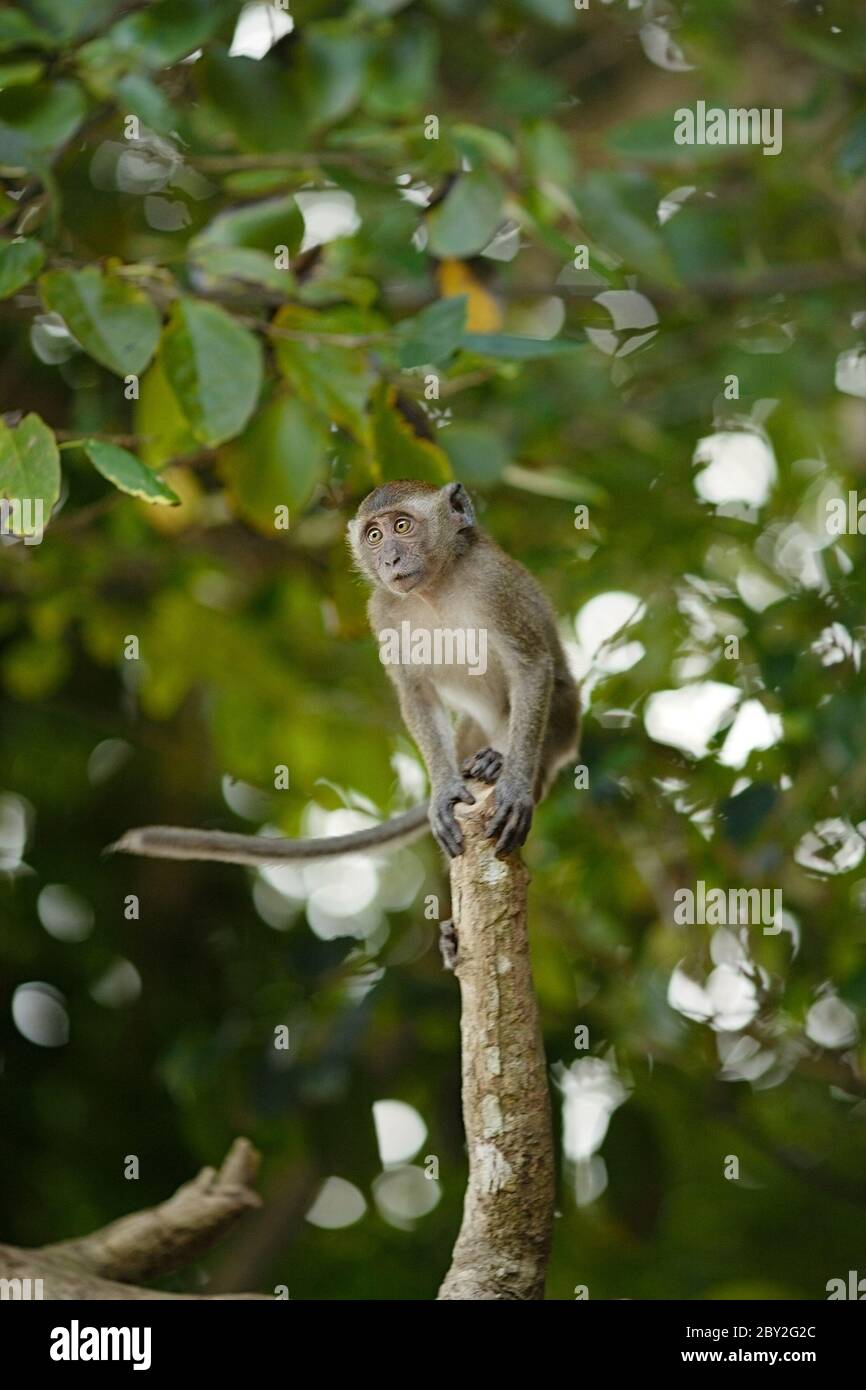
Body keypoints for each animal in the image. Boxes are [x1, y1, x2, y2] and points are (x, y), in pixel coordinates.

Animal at [112, 480, 580, 876]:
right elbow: (416, 692)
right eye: (374, 536)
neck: (435, 589)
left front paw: (514, 785)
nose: (390, 559)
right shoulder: (383, 611)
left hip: (560, 721)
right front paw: (444, 790)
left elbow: (530, 666)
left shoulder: (493, 585)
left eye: (402, 526)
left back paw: (500, 759)